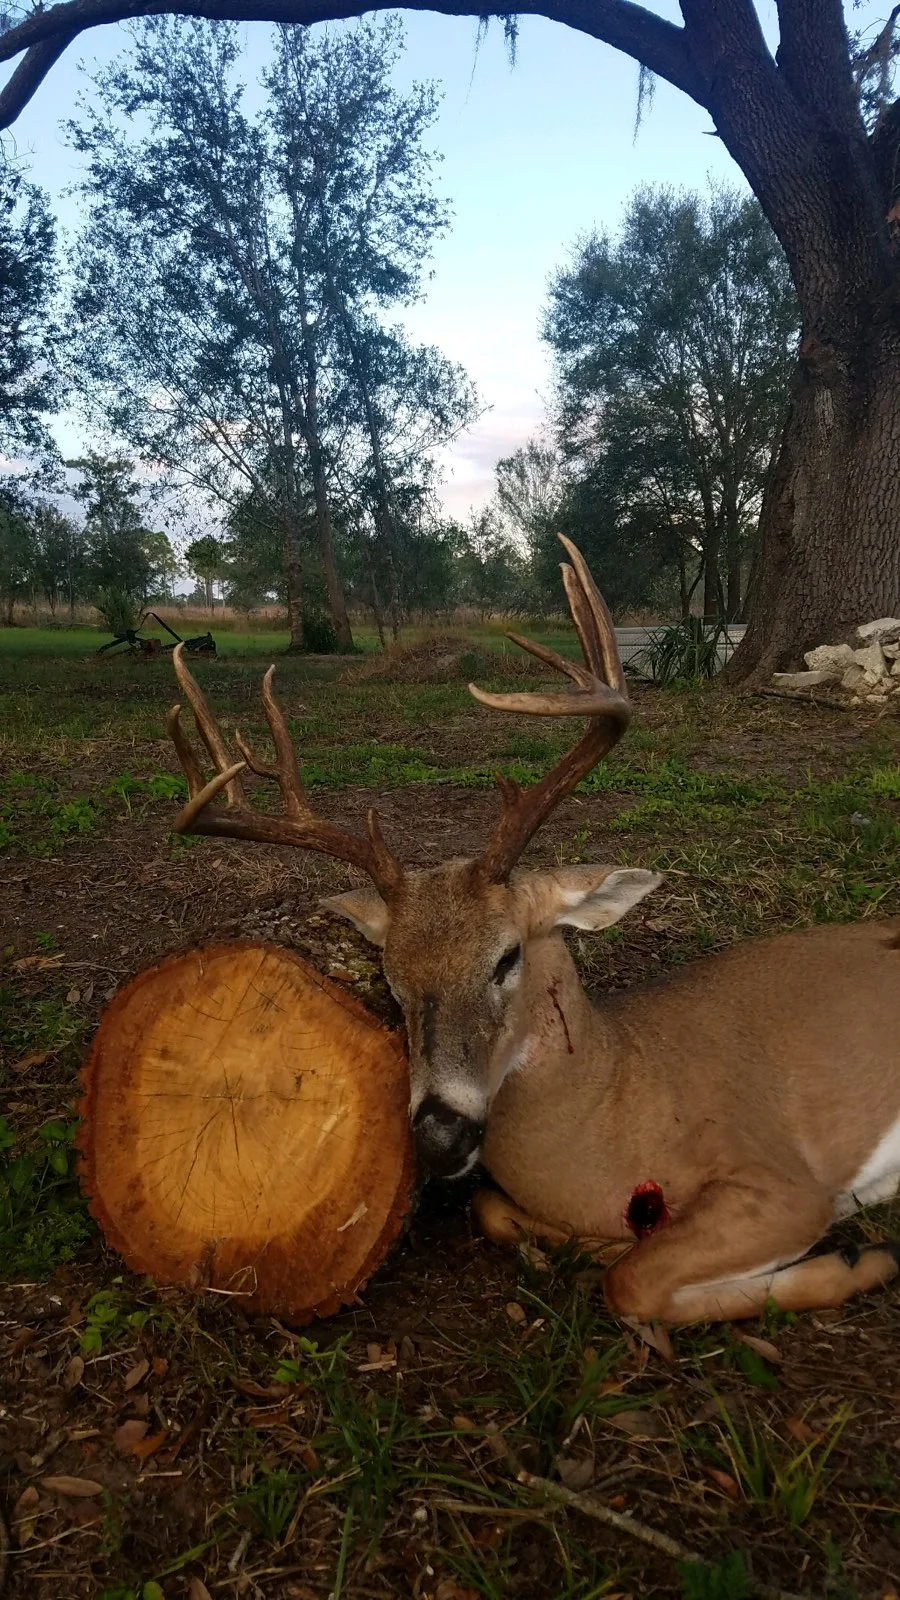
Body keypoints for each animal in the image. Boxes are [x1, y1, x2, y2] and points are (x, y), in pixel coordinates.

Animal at [164, 537, 900, 1326]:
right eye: (391, 978)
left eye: (506, 956)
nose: (438, 1137)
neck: (625, 1103)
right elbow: (509, 1216)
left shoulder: (784, 1179)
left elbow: (633, 1282)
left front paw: (860, 1259)